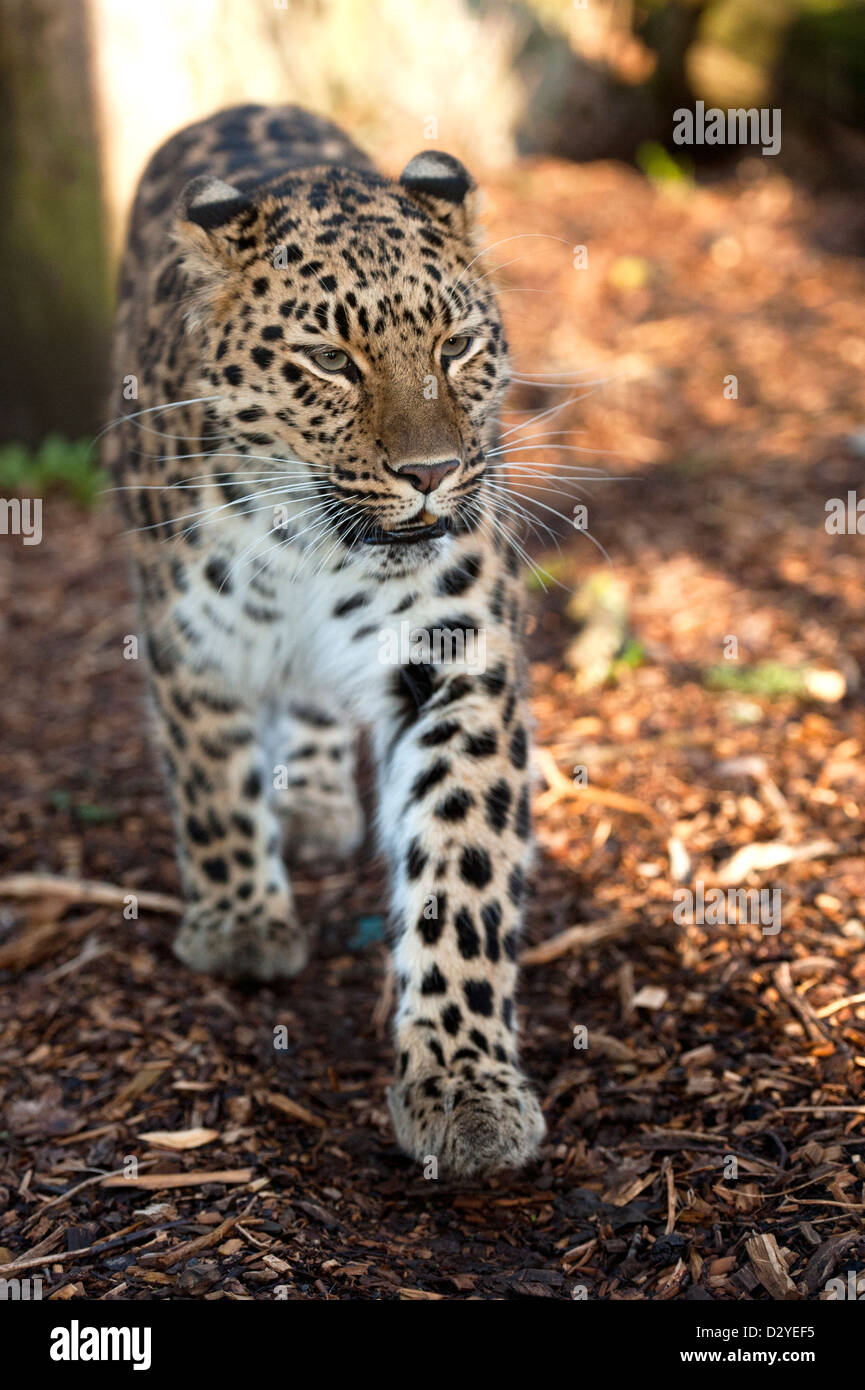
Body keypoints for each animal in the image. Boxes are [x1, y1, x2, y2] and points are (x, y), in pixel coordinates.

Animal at [105, 103, 546, 1178]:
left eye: (458, 345)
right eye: (331, 361)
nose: (432, 473)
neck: (314, 541)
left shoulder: (457, 666)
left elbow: (461, 874)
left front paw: (465, 1085)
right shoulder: (193, 641)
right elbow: (212, 780)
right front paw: (239, 922)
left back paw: (309, 801)